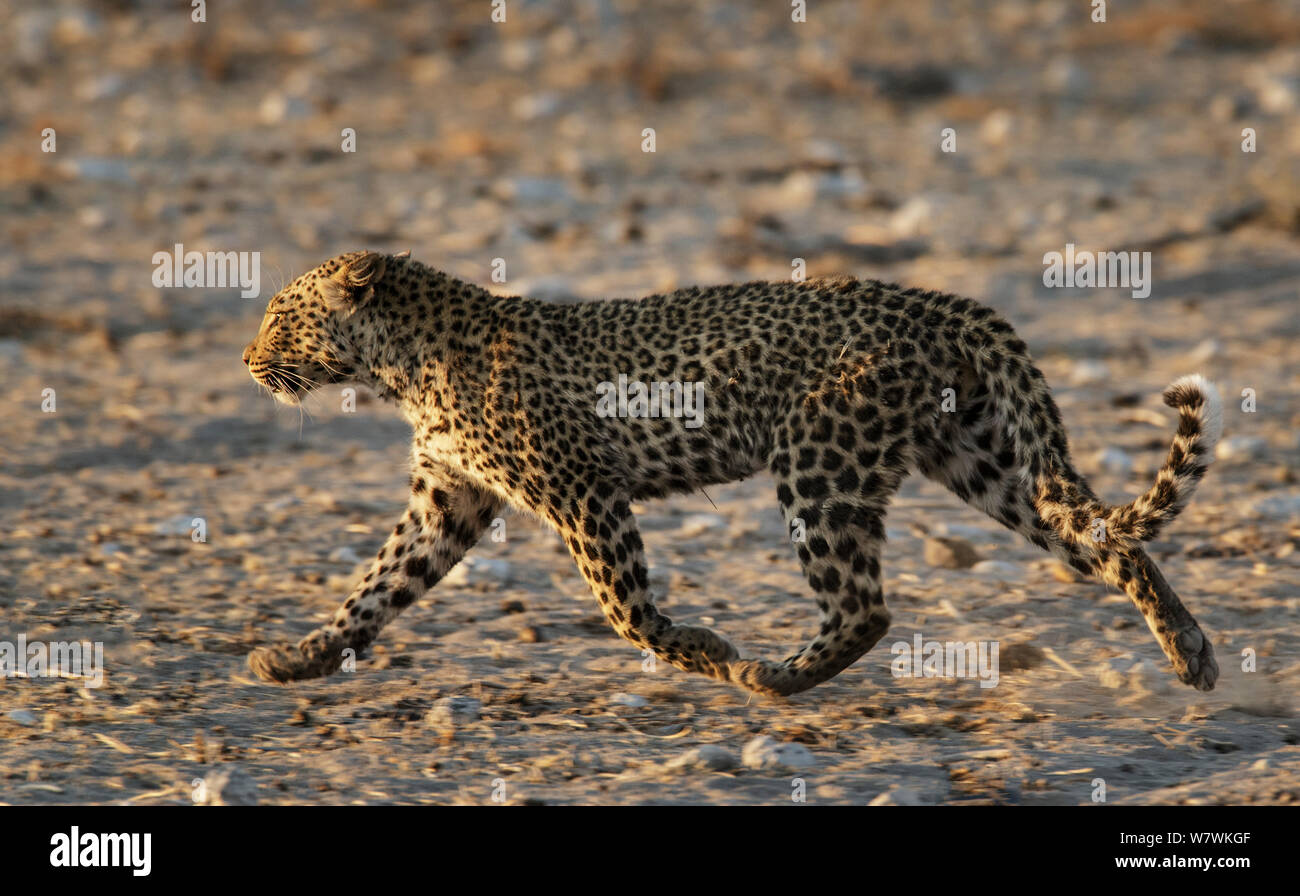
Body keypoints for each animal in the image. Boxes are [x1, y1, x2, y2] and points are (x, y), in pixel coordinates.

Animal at [241, 249, 1222, 697]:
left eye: (280, 319)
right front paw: (300, 657)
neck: (399, 371)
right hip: (978, 458)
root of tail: (932, 299)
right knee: (1105, 542)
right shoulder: (447, 500)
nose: (247, 361)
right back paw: (1192, 650)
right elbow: (375, 587)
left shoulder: (582, 490)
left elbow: (624, 607)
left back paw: (772, 676)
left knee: (867, 605)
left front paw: (703, 649)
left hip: (819, 462)